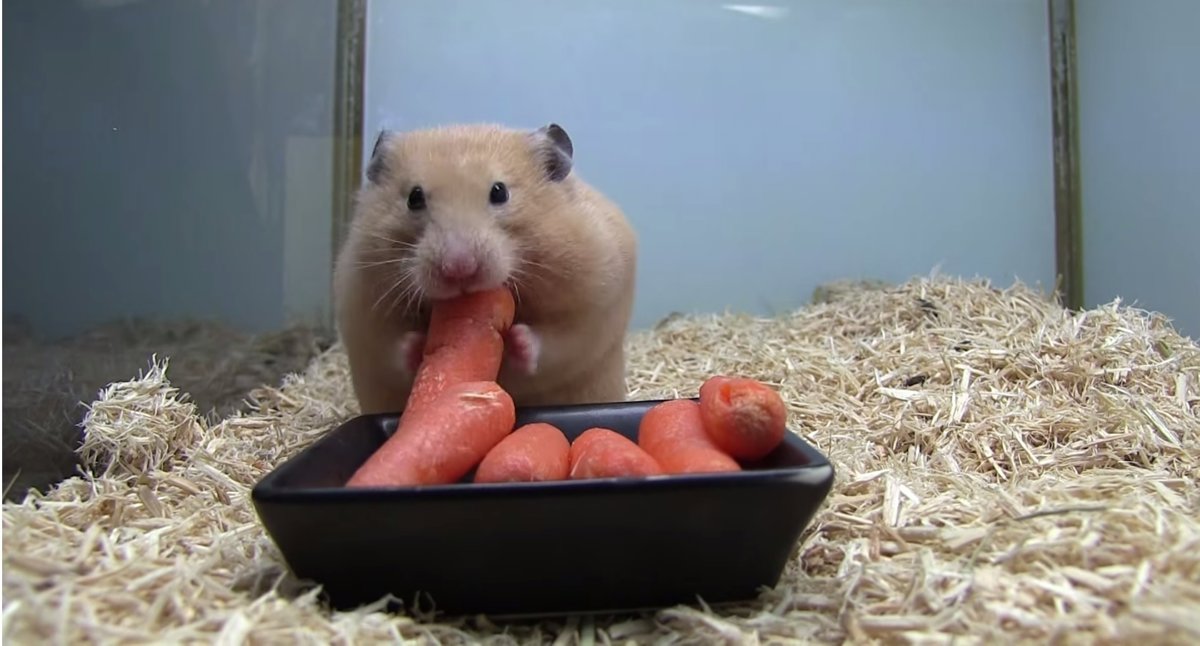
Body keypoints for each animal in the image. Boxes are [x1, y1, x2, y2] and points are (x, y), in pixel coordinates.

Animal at [333, 122, 638, 415]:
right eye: (414, 197)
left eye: (500, 192)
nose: (459, 268)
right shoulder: (362, 311)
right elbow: (391, 347)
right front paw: (419, 345)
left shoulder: (594, 302)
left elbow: (557, 341)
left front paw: (518, 339)